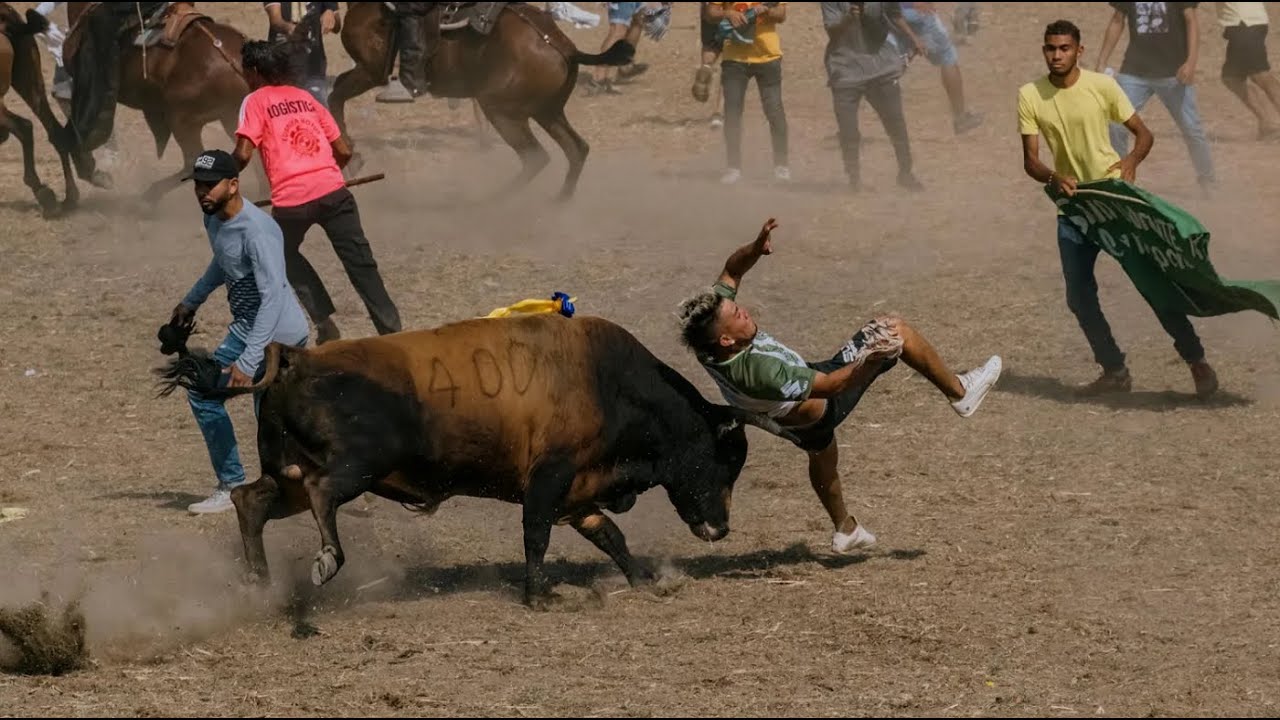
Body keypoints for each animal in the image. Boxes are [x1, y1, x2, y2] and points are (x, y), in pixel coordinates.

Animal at [156, 313, 799, 608]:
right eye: (724, 458)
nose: (719, 529)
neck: (609, 383)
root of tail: (295, 359)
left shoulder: (579, 491)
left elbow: (608, 534)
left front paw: (641, 578)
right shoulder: (549, 479)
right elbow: (536, 535)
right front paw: (539, 596)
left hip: (286, 474)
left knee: (252, 500)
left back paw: (259, 582)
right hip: (354, 466)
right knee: (322, 496)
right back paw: (326, 560)